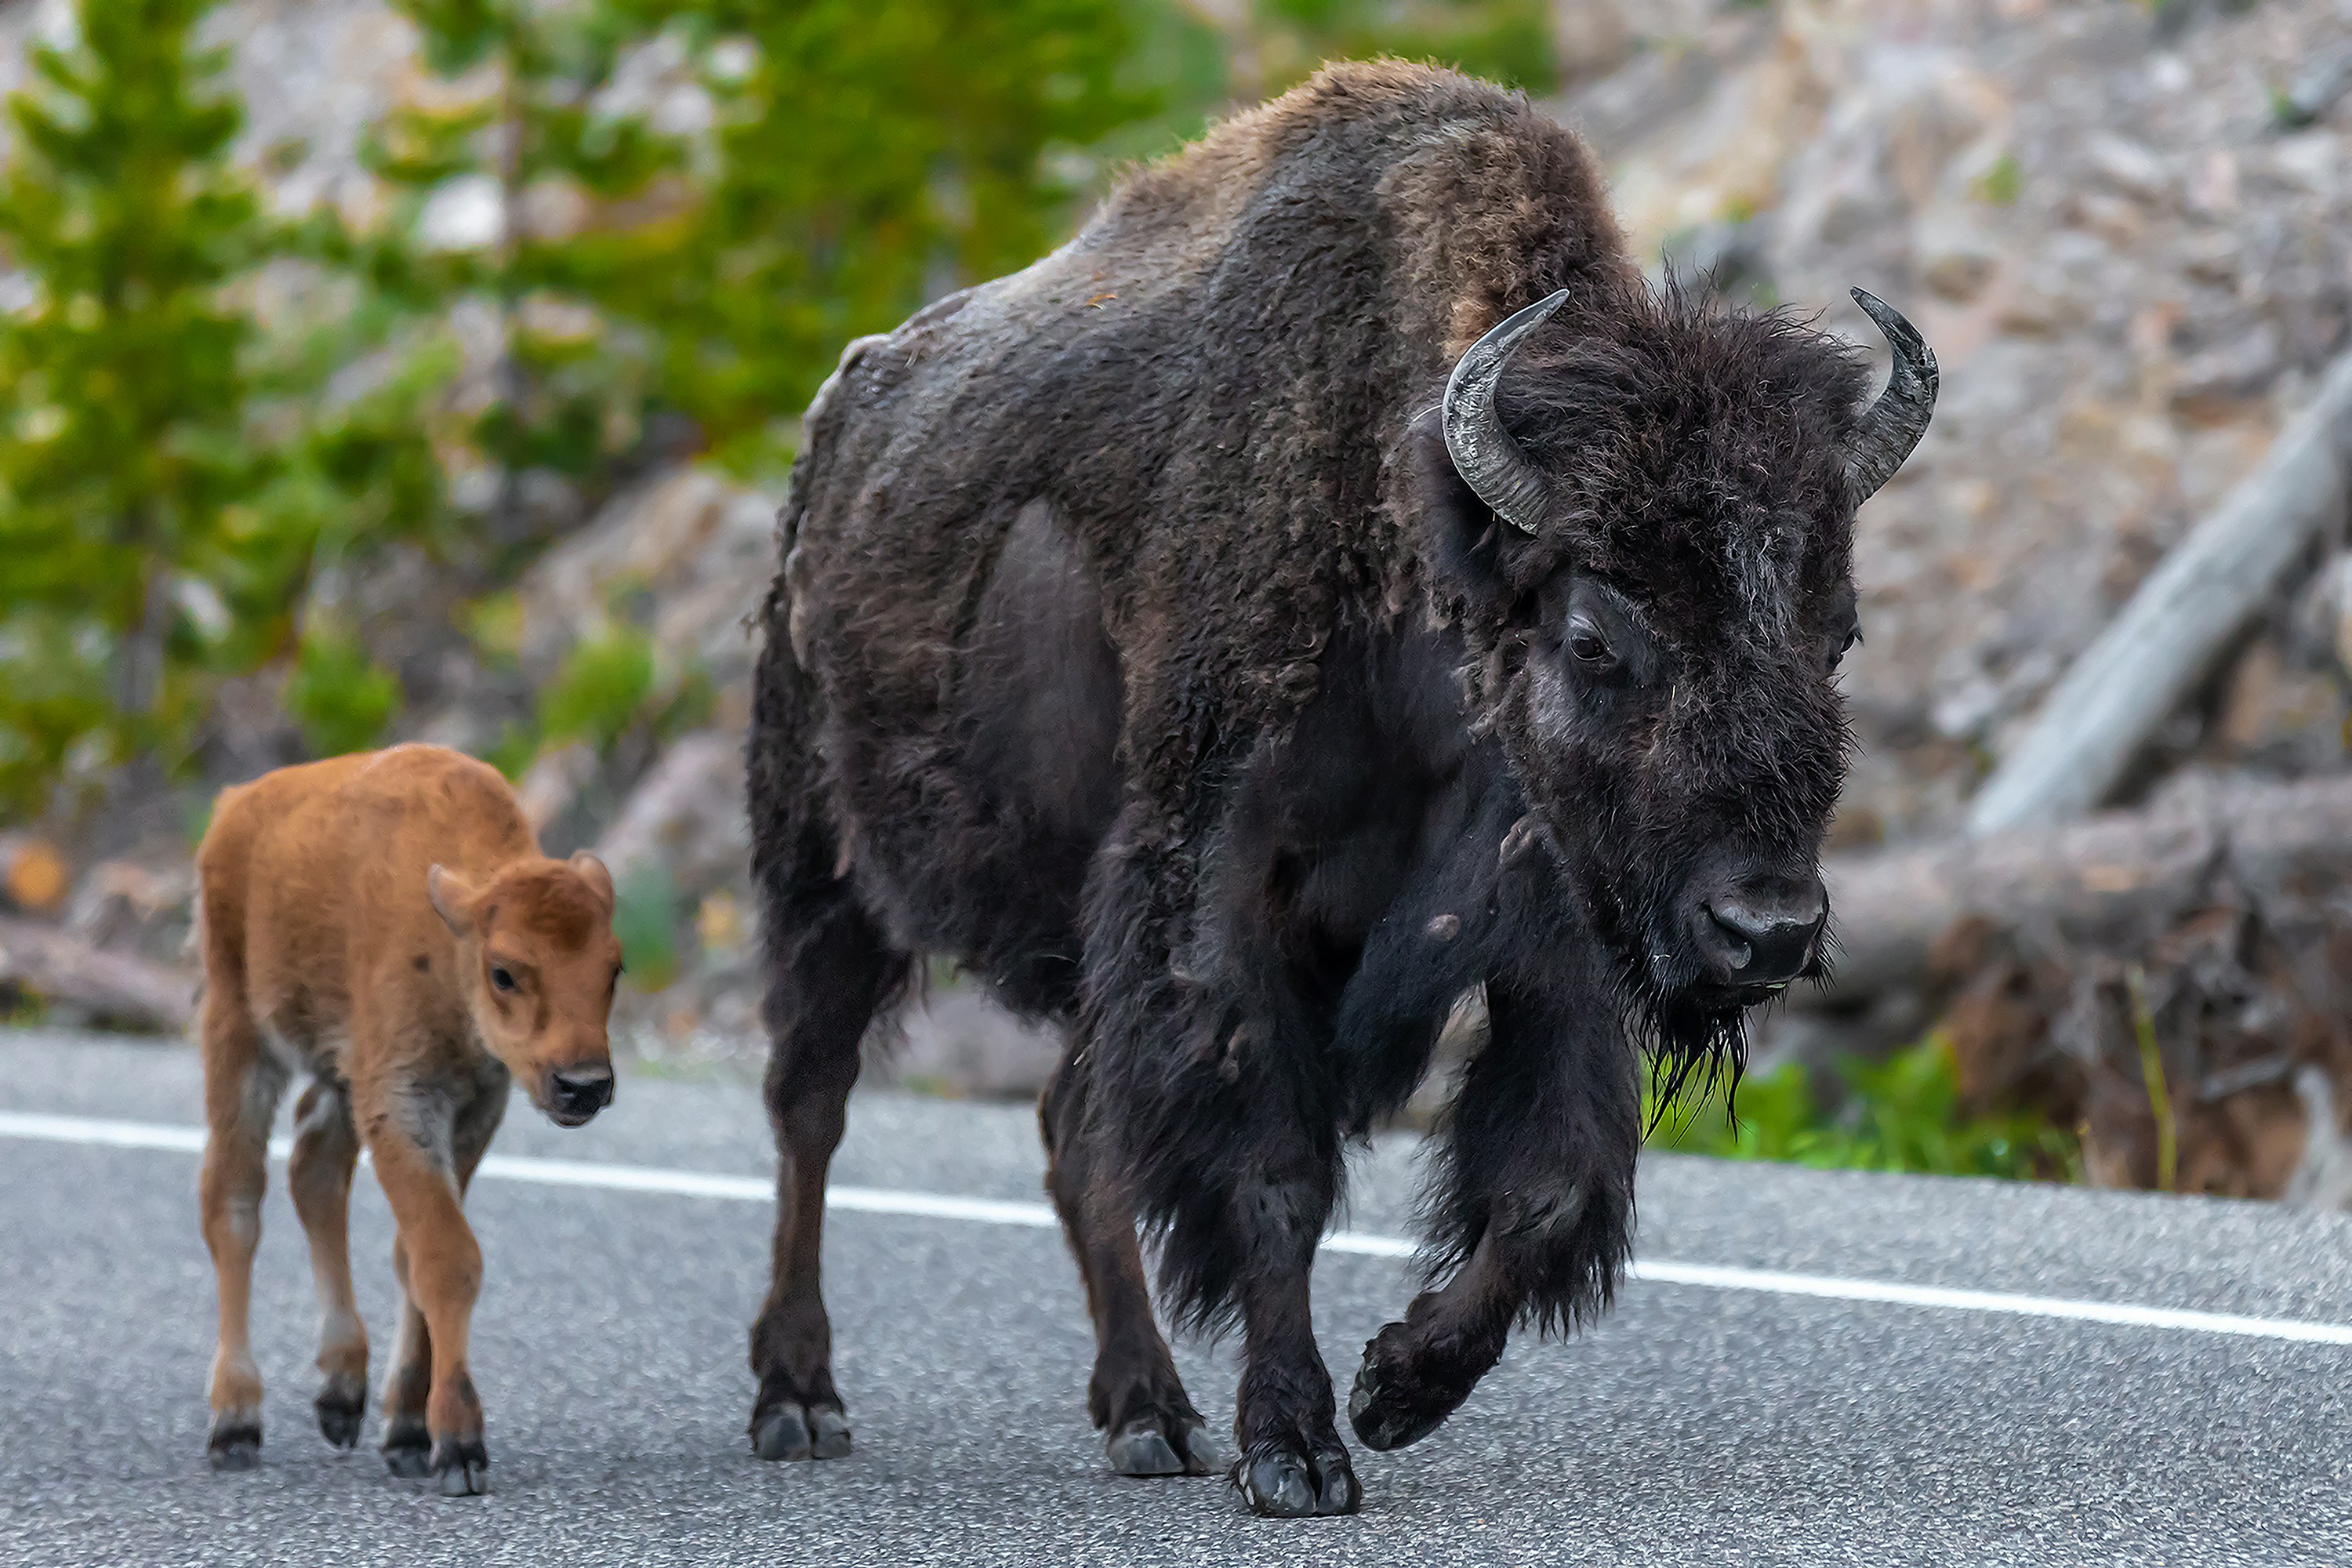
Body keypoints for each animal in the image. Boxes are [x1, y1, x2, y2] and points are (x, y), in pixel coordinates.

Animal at [741, 60, 1935, 1517]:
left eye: (1840, 632)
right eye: (1596, 637)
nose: (1765, 930)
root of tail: (833, 439)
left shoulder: (1548, 932)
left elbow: (1551, 1184)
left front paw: (1398, 1386)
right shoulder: (1228, 909)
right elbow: (1277, 1179)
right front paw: (1297, 1449)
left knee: (1072, 1131)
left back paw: (1150, 1416)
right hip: (822, 868)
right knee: (813, 1103)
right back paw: (800, 1397)